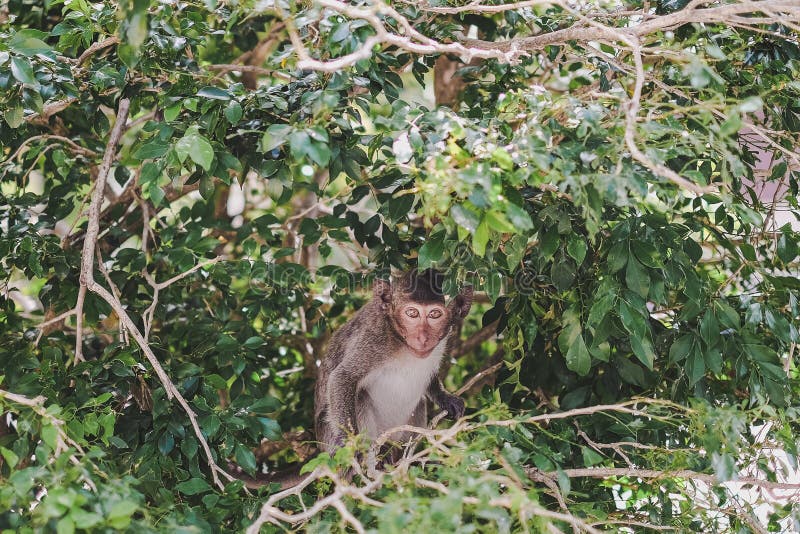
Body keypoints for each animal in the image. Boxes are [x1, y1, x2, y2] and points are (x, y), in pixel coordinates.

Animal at [315, 269, 473, 455]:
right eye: (412, 313)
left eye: (435, 314)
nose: (422, 338)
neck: (401, 341)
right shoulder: (376, 339)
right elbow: (343, 377)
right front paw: (347, 441)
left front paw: (444, 396)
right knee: (359, 396)